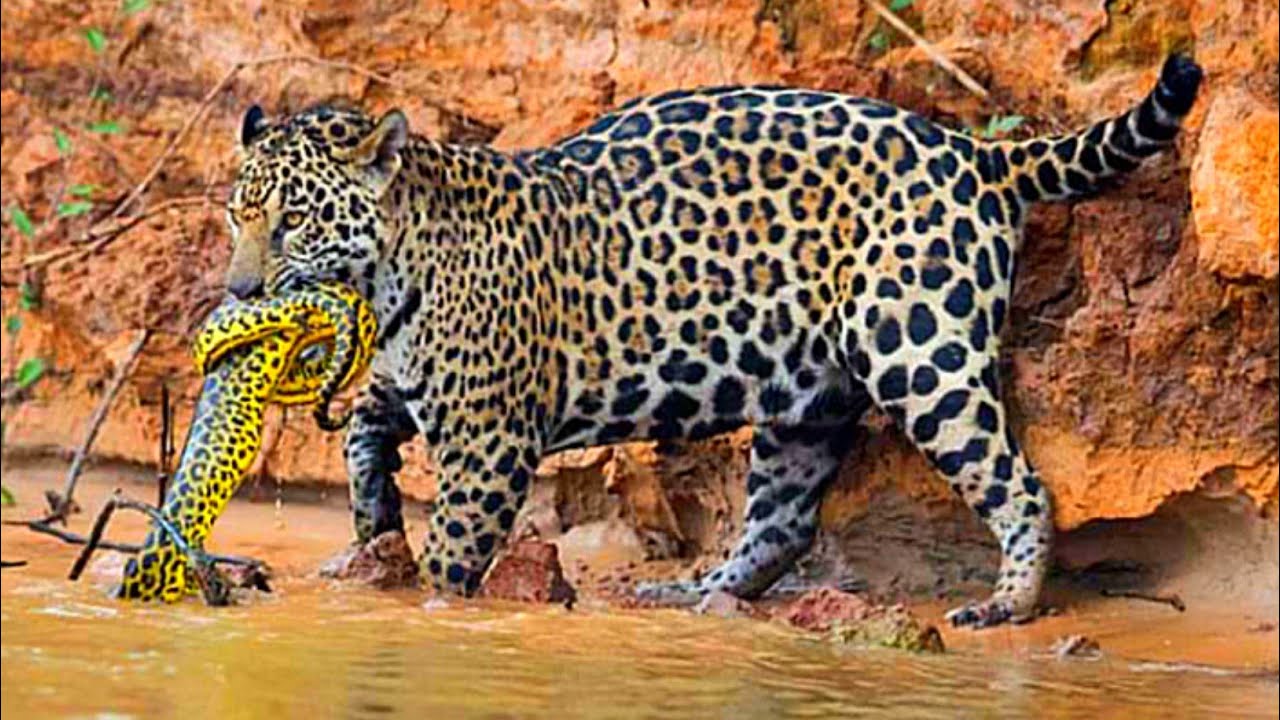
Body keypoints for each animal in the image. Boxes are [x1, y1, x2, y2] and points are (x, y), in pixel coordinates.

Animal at [223, 53, 1202, 627]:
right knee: (785, 520)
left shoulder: (488, 436)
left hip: (918, 352)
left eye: (295, 221)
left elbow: (458, 544)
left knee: (1019, 483)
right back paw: (699, 593)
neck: (392, 266)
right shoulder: (417, 384)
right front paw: (373, 520)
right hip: (808, 395)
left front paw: (428, 598)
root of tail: (978, 154)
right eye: (238, 215)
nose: (239, 290)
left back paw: (1008, 603)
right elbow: (363, 430)